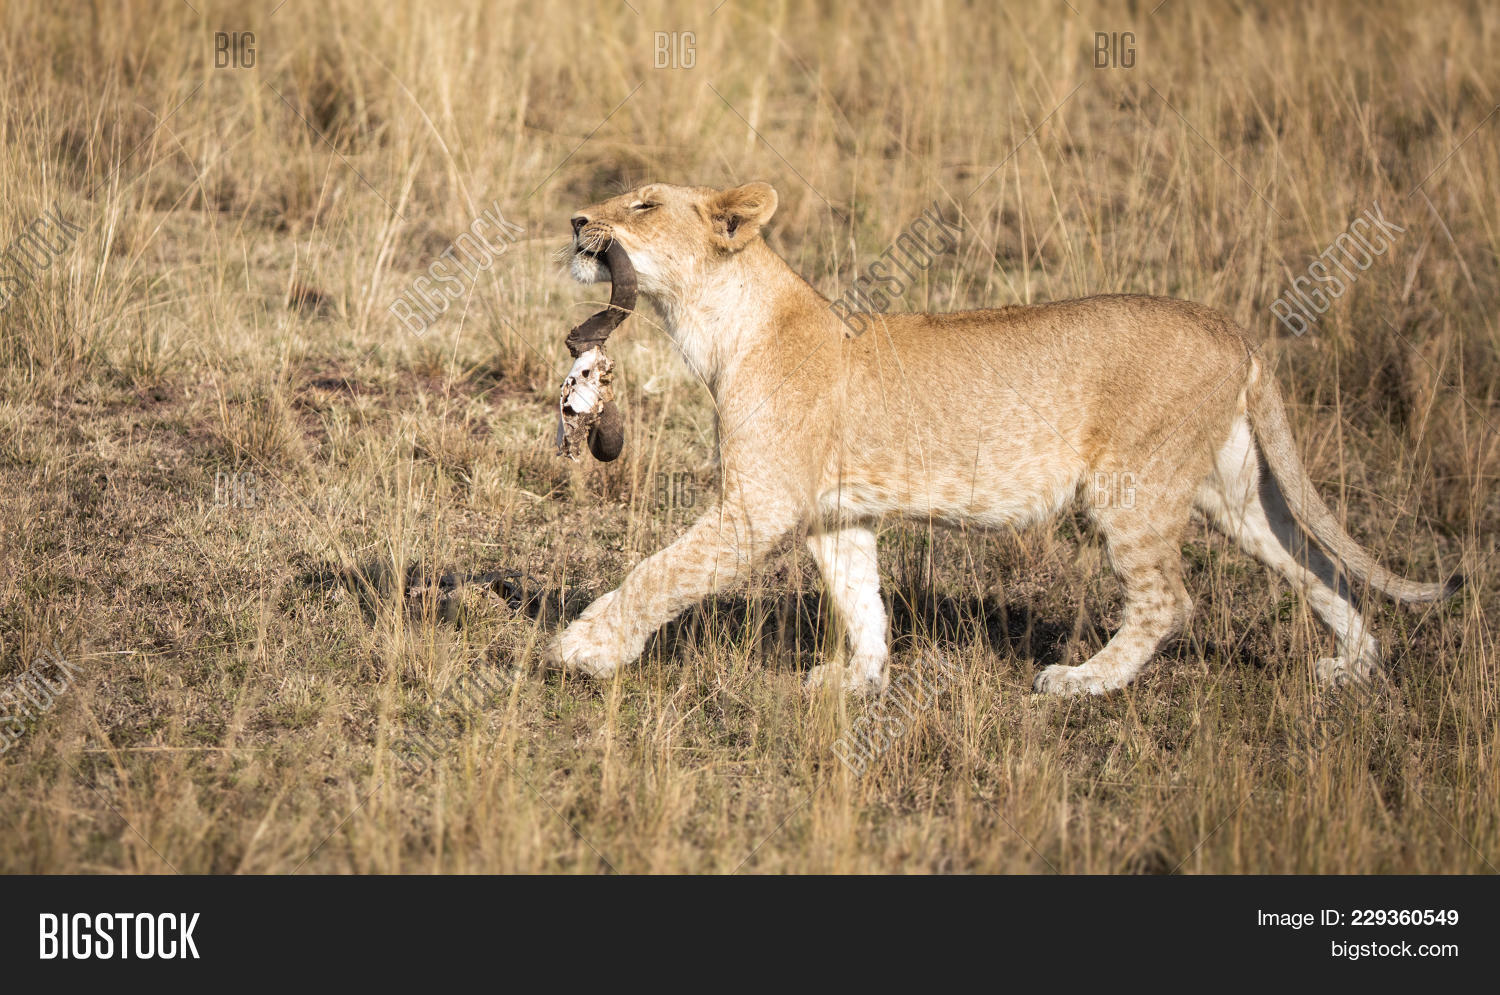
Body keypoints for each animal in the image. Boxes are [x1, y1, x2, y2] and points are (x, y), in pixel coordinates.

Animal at [547, 181, 1459, 694]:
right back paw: (1353, 666)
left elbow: (663, 571)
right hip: (1230, 491)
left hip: (1131, 490)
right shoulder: (836, 514)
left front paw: (585, 646)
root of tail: (1234, 331)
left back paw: (1083, 682)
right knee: (1314, 561)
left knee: (1169, 599)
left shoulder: (760, 502)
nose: (576, 218)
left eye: (643, 204)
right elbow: (862, 601)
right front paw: (858, 681)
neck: (717, 323)